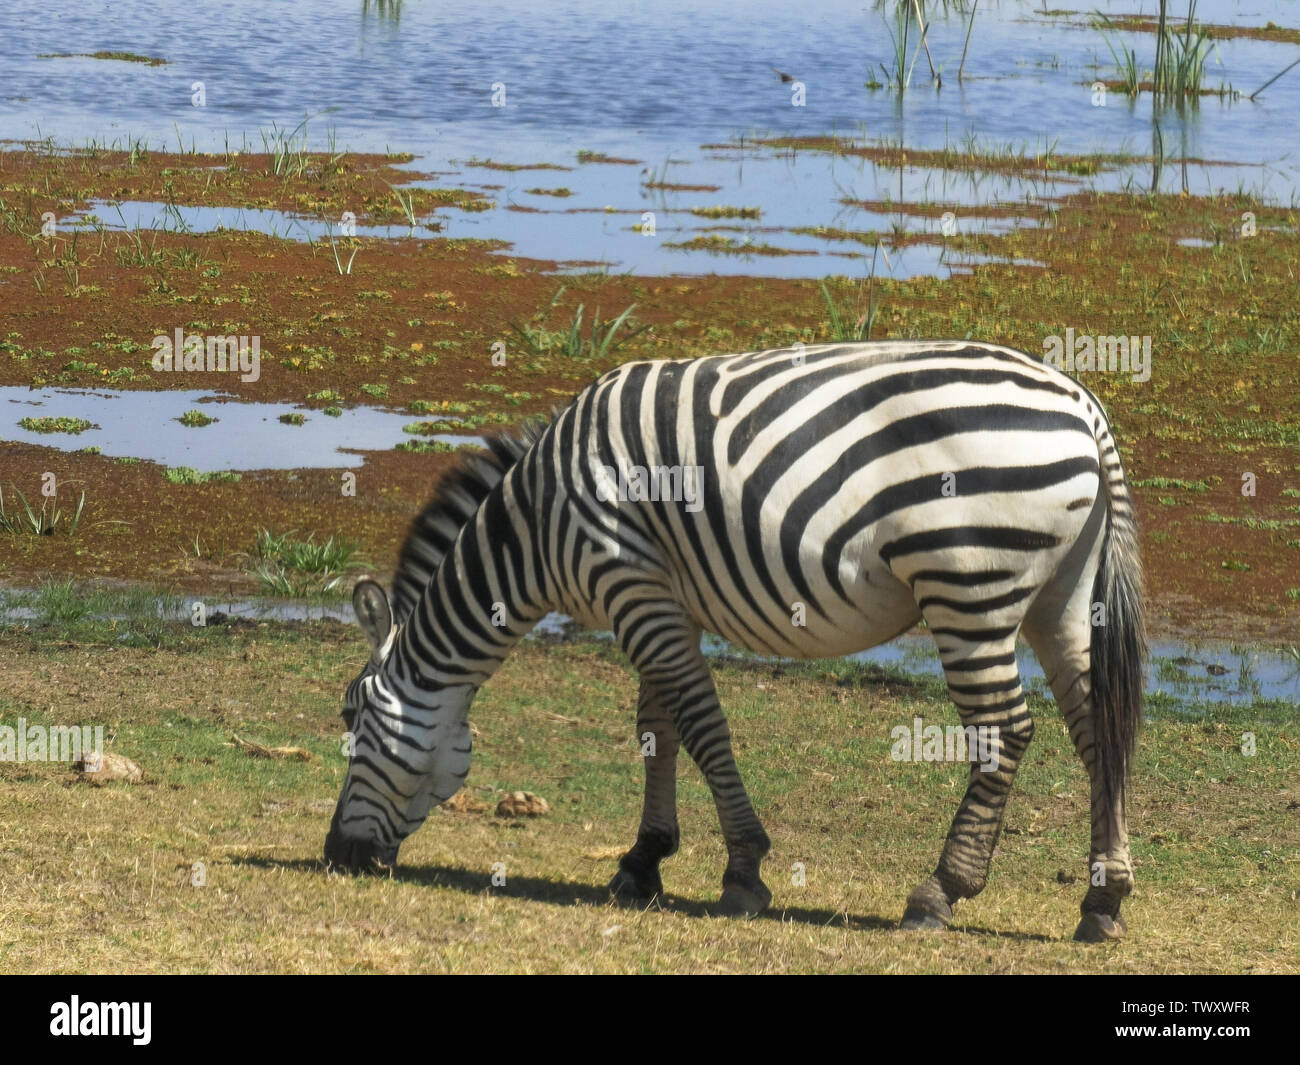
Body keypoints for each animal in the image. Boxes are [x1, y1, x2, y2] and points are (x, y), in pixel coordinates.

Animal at [325, 340, 1146, 942]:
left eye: (351, 718)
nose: (337, 857)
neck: (535, 526)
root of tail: (1082, 405)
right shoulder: (659, 598)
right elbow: (656, 726)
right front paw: (643, 862)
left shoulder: (628, 581)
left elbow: (700, 726)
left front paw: (743, 871)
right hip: (1063, 595)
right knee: (1097, 729)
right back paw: (1103, 901)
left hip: (967, 581)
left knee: (1003, 729)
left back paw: (938, 893)